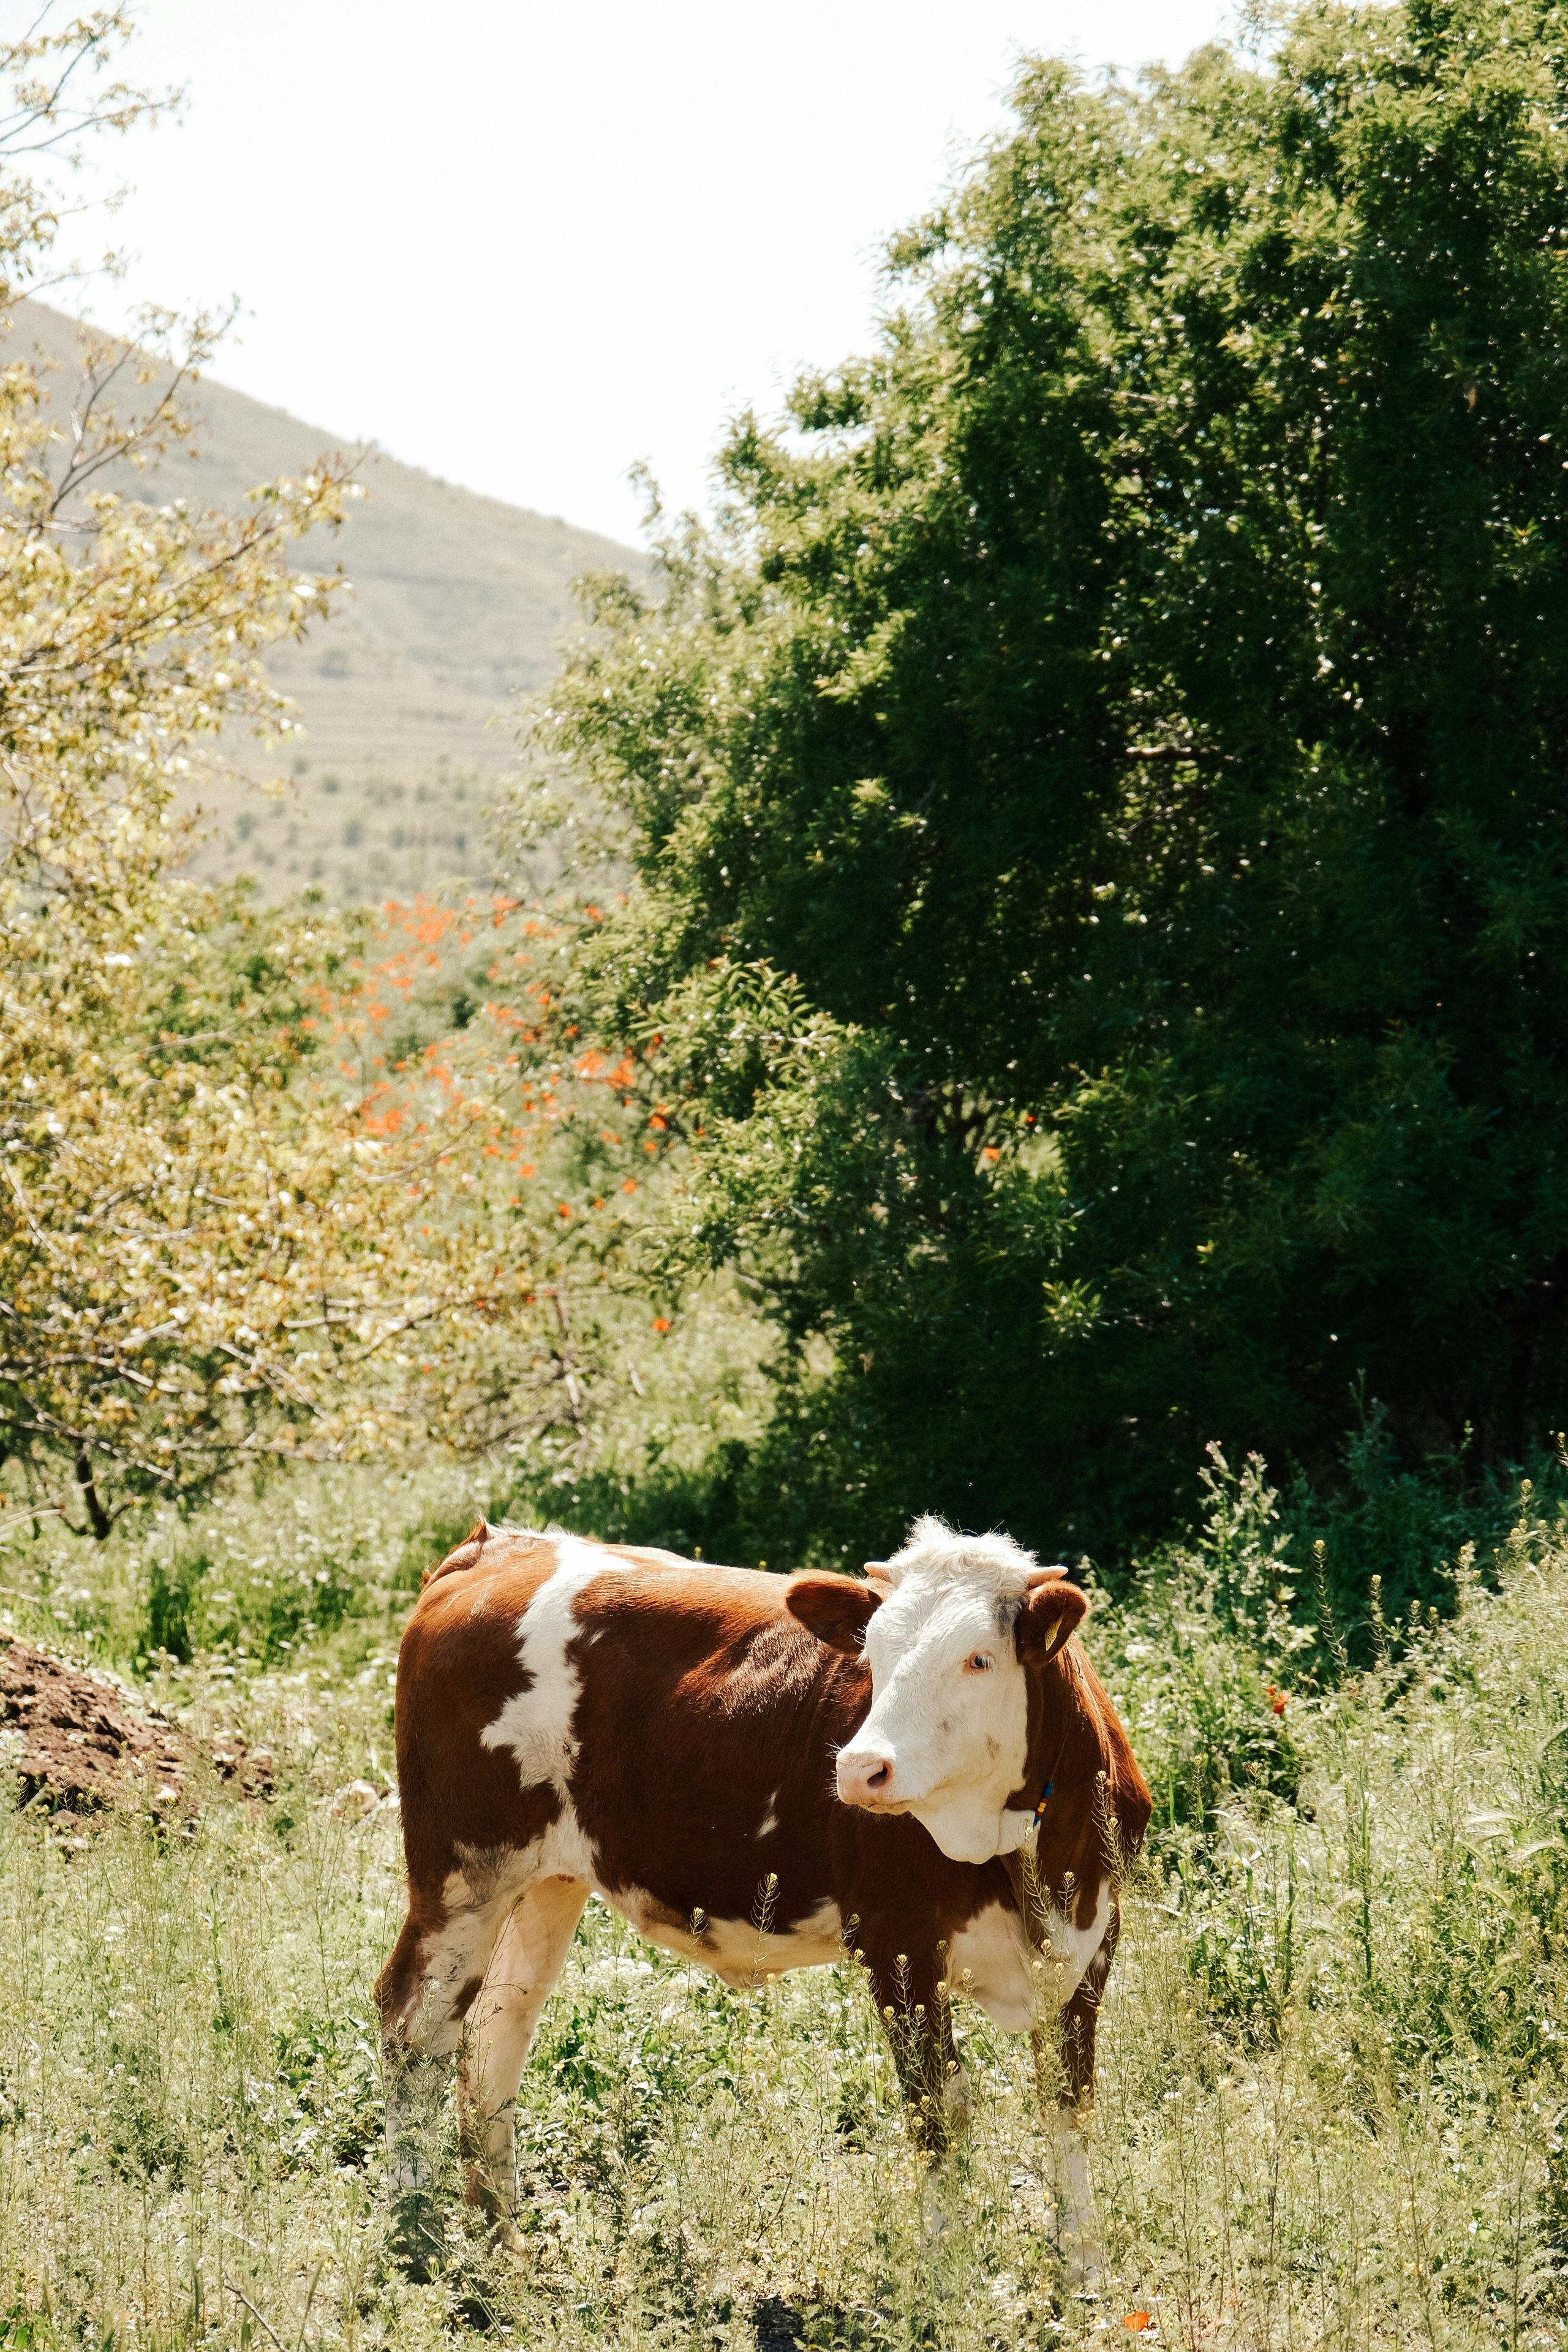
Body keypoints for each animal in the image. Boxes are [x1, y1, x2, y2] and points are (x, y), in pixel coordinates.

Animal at [375, 1513, 1151, 2288]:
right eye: (872, 1653)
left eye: (979, 1659)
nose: (860, 1767)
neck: (1014, 1846)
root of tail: (497, 1547)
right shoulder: (898, 1944)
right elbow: (937, 2111)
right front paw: (942, 2274)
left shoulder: (1091, 1945)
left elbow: (1066, 2104)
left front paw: (1083, 2267)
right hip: (463, 1870)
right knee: (416, 2026)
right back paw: (417, 2238)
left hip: (544, 1880)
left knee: (496, 2031)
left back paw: (500, 2236)